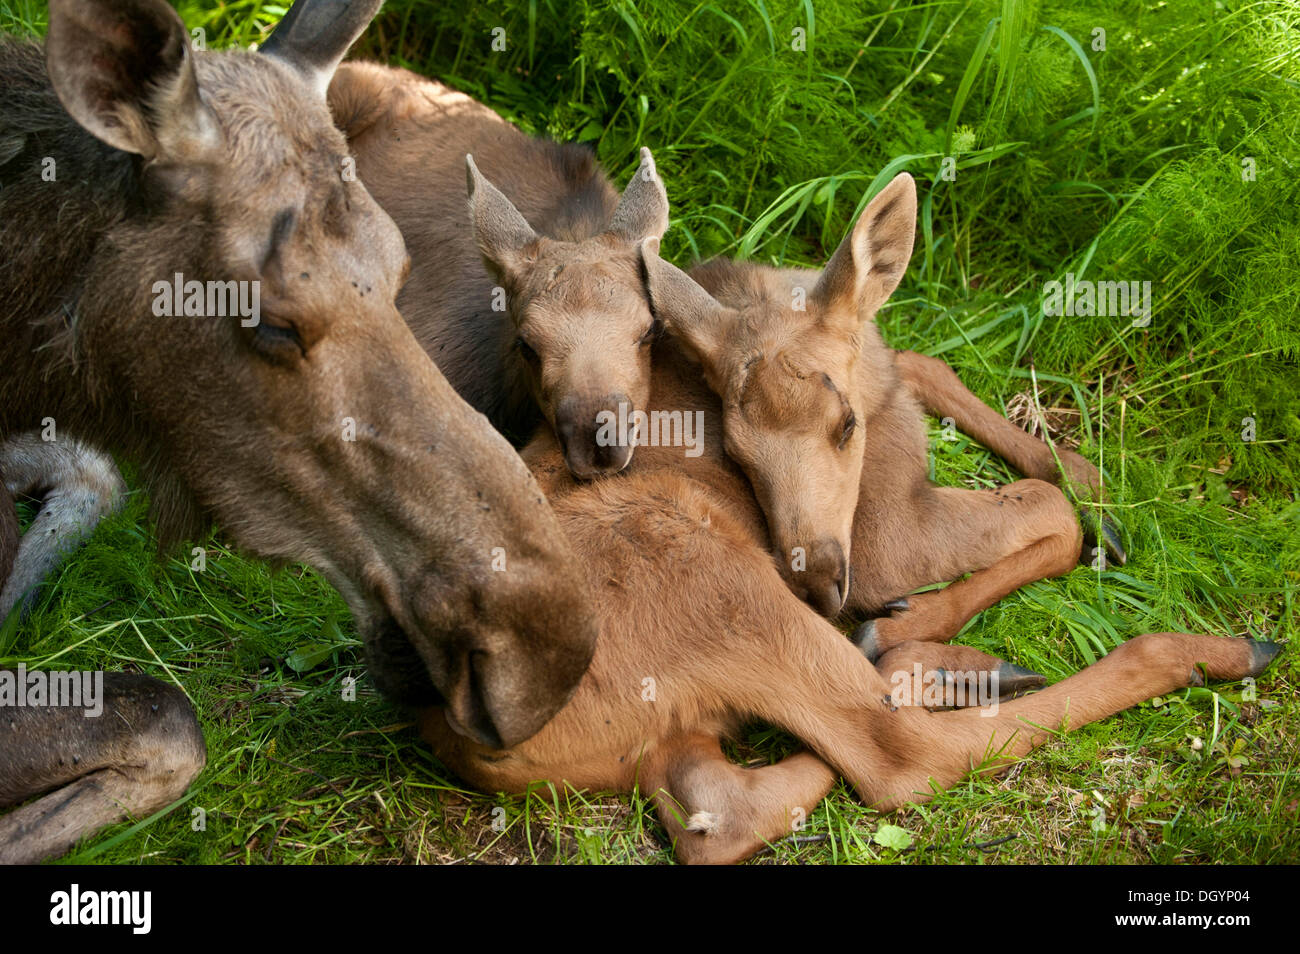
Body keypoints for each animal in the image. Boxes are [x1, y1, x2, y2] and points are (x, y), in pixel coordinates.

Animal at [414, 173, 1282, 864]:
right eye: (737, 450)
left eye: (844, 426)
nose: (821, 578)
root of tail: (464, 728)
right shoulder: (889, 534)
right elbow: (1052, 516)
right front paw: (1090, 506)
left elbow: (929, 361)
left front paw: (1082, 468)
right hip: (706, 569)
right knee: (899, 756)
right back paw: (1205, 650)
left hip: (663, 728)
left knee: (717, 816)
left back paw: (938, 664)